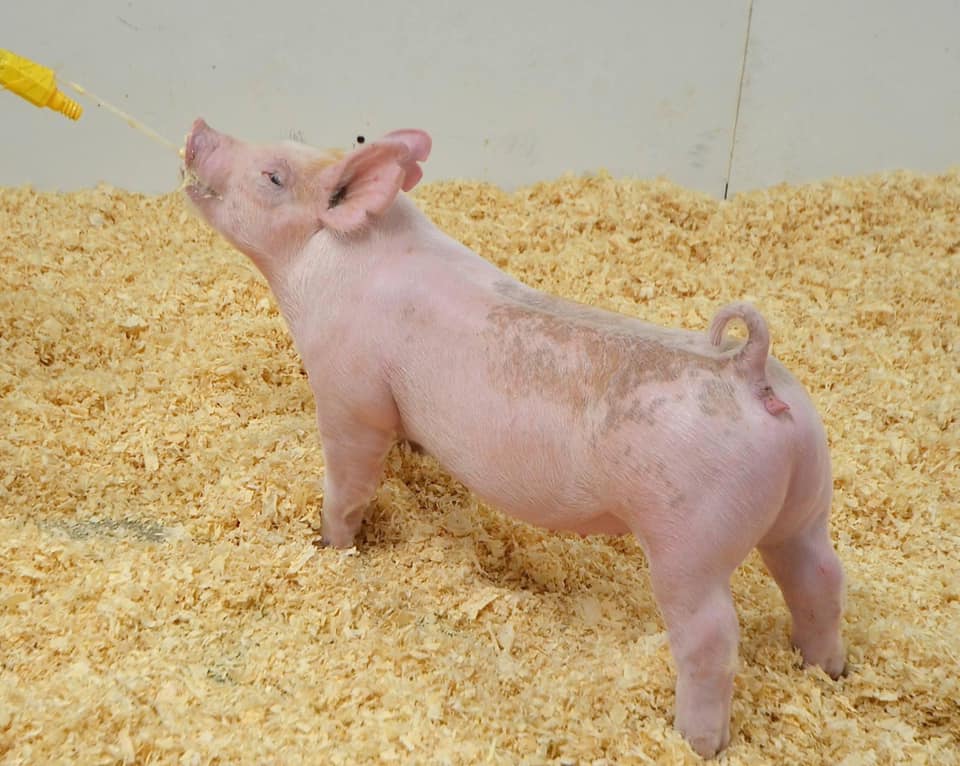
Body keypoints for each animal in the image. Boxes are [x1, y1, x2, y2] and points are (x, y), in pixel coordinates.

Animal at [182, 119, 846, 758]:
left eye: (273, 175)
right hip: (806, 498)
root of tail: (747, 369)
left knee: (712, 635)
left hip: (692, 540)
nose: (201, 127)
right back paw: (826, 670)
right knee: (821, 574)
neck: (331, 266)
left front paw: (330, 546)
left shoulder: (350, 392)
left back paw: (694, 741)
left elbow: (350, 480)